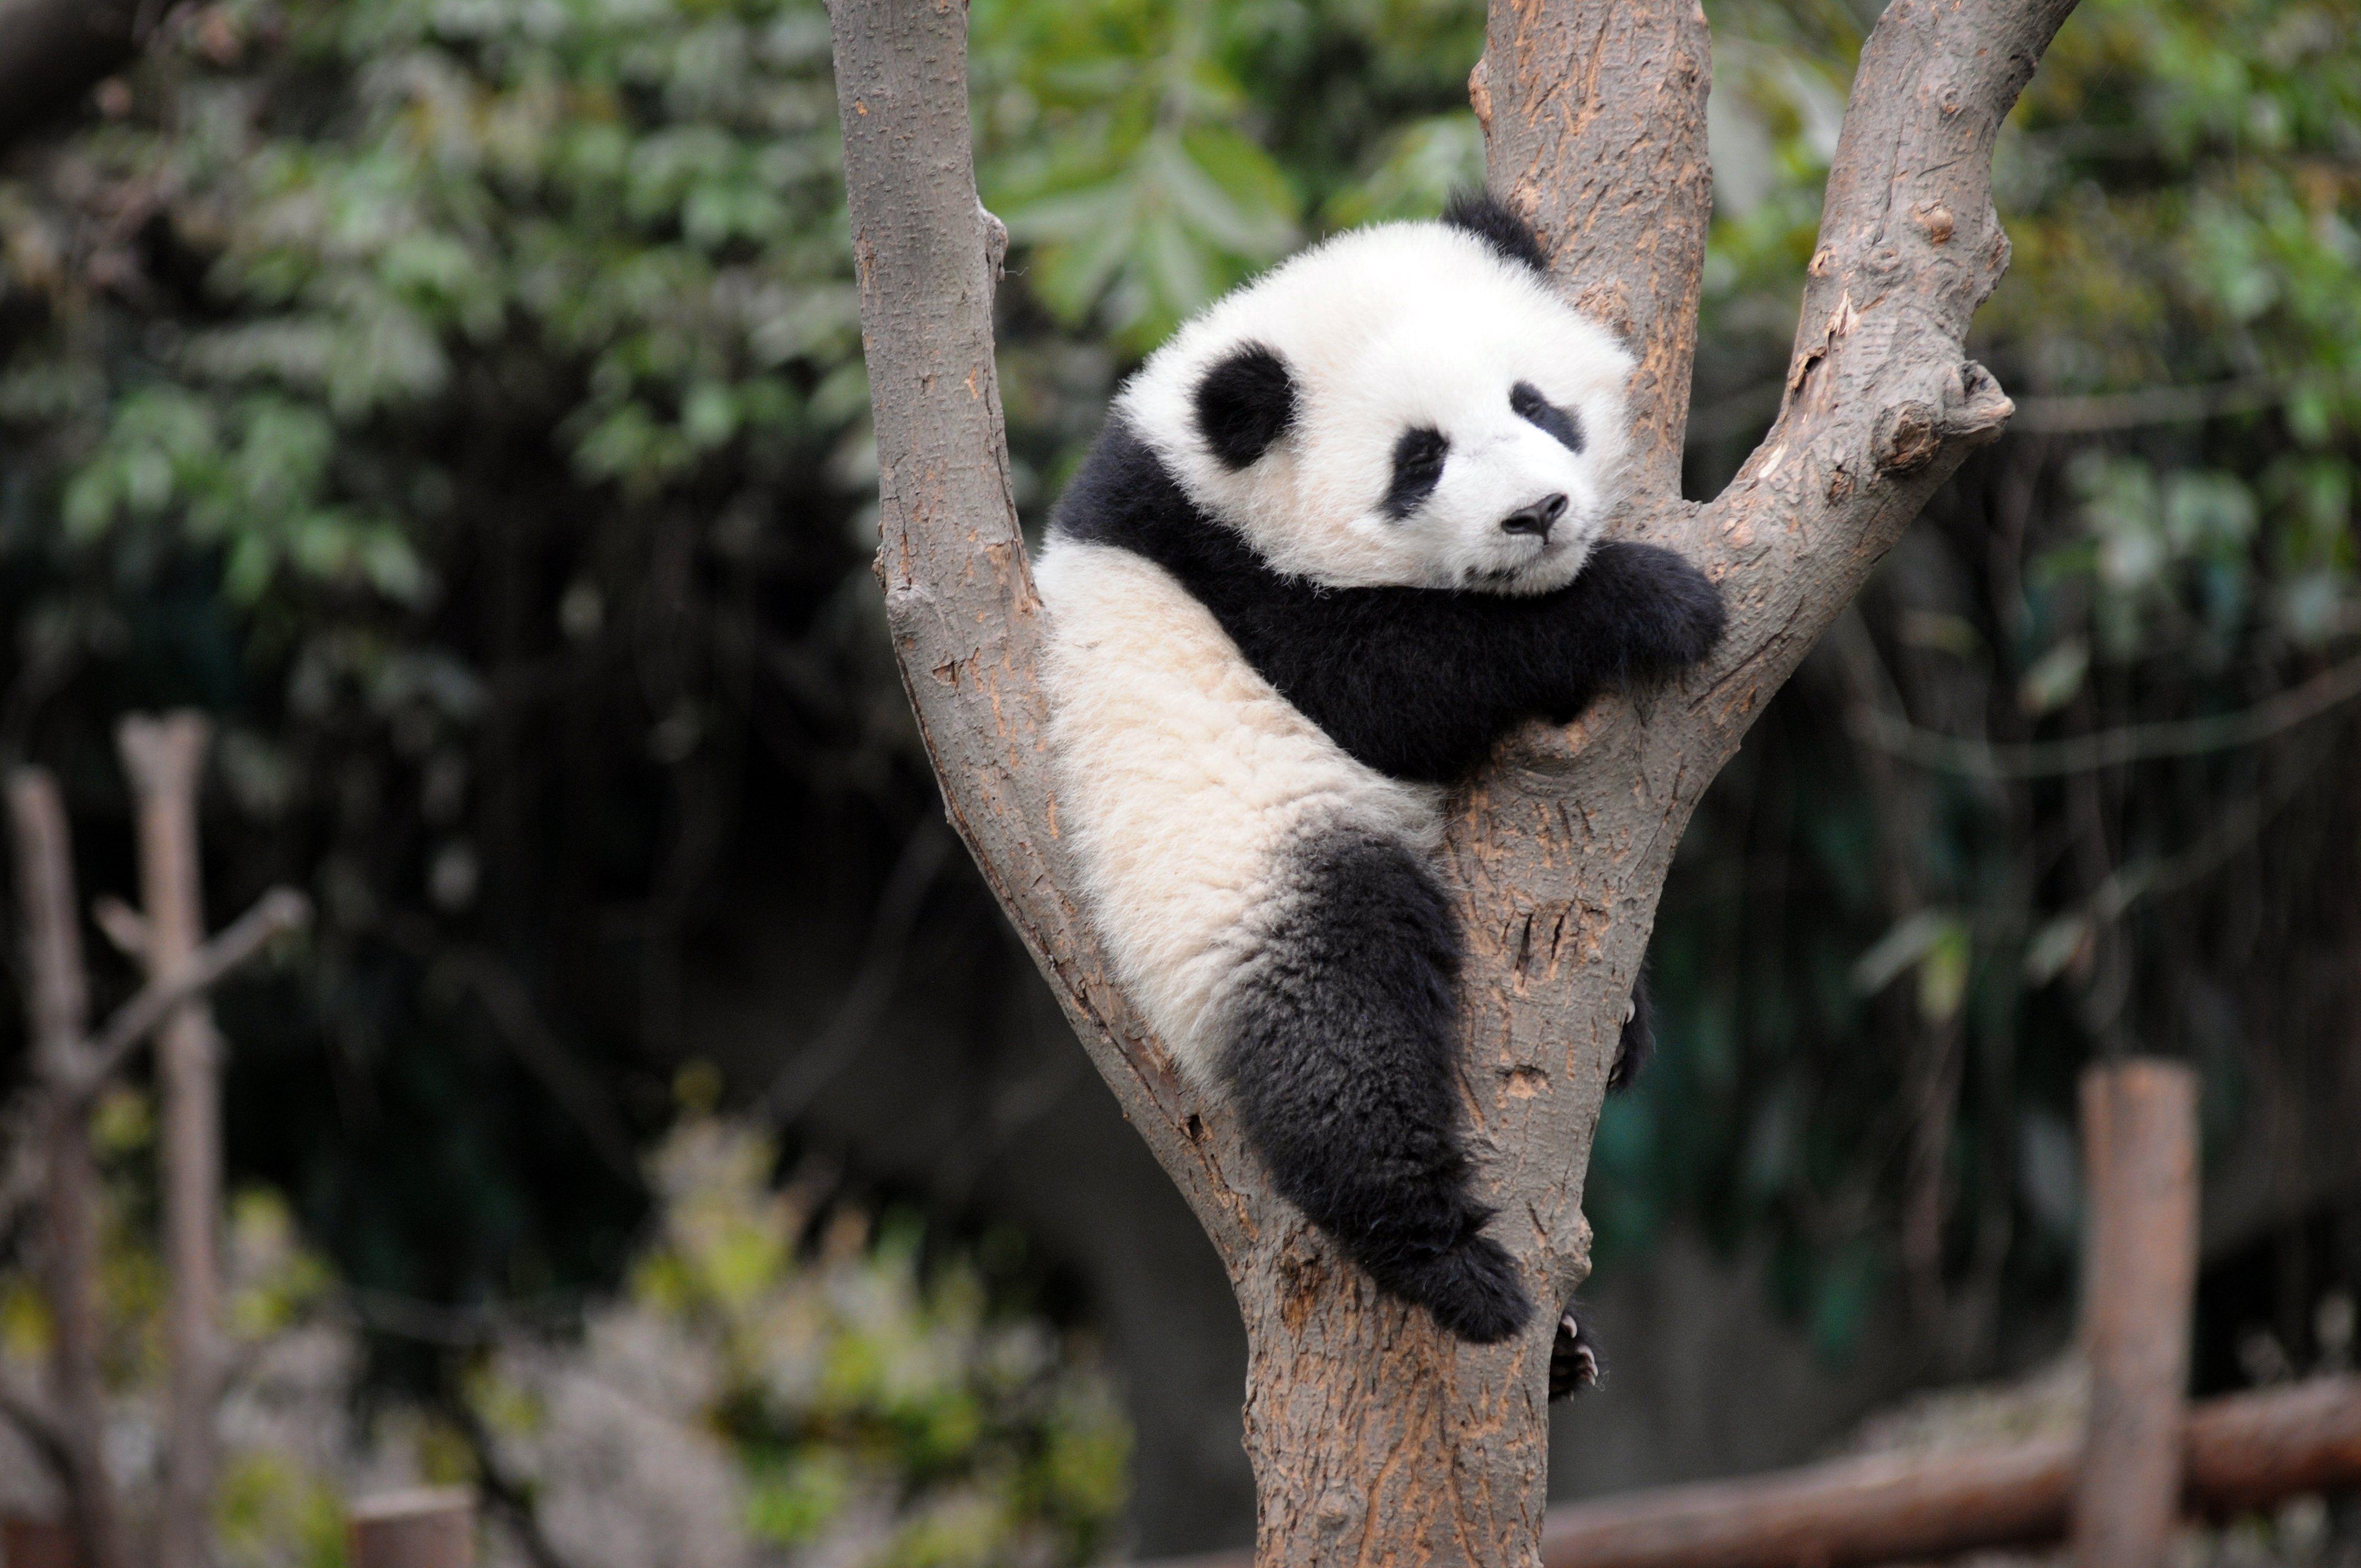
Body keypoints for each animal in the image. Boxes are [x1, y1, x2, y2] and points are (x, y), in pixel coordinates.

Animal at [1032, 193, 1724, 1349]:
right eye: (1418, 461)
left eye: (1533, 402)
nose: (1537, 513)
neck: (1195, 467)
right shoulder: (1236, 578)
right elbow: (1387, 687)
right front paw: (1653, 598)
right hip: (1233, 875)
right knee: (1338, 1031)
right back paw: (1448, 1260)